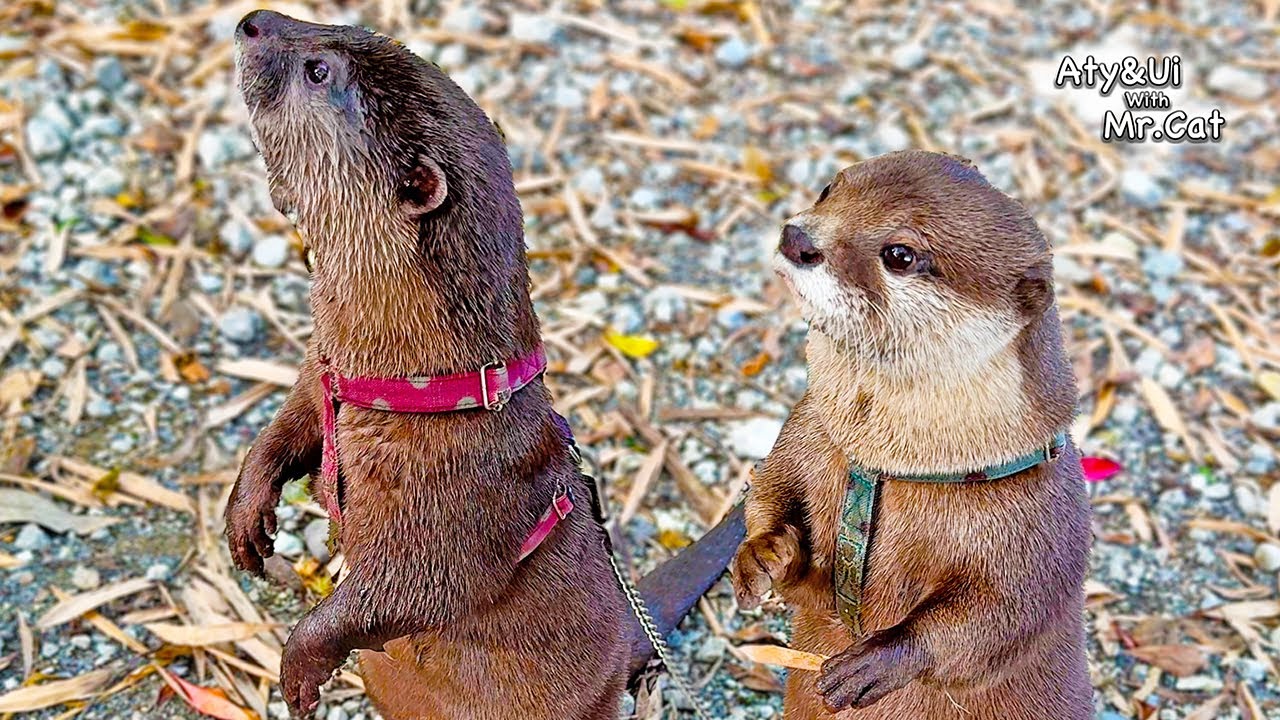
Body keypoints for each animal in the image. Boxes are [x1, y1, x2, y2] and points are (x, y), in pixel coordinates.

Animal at [225, 11, 744, 720]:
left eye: (318, 71)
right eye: (343, 24)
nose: (253, 21)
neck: (430, 390)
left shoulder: (460, 502)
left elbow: (408, 593)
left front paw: (300, 667)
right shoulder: (319, 370)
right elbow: (284, 433)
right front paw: (247, 517)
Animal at [731, 151, 1092, 719]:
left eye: (899, 254)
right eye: (829, 188)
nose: (798, 238)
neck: (890, 465)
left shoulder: (1042, 533)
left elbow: (995, 622)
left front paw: (876, 662)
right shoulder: (803, 436)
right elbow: (769, 493)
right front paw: (763, 555)